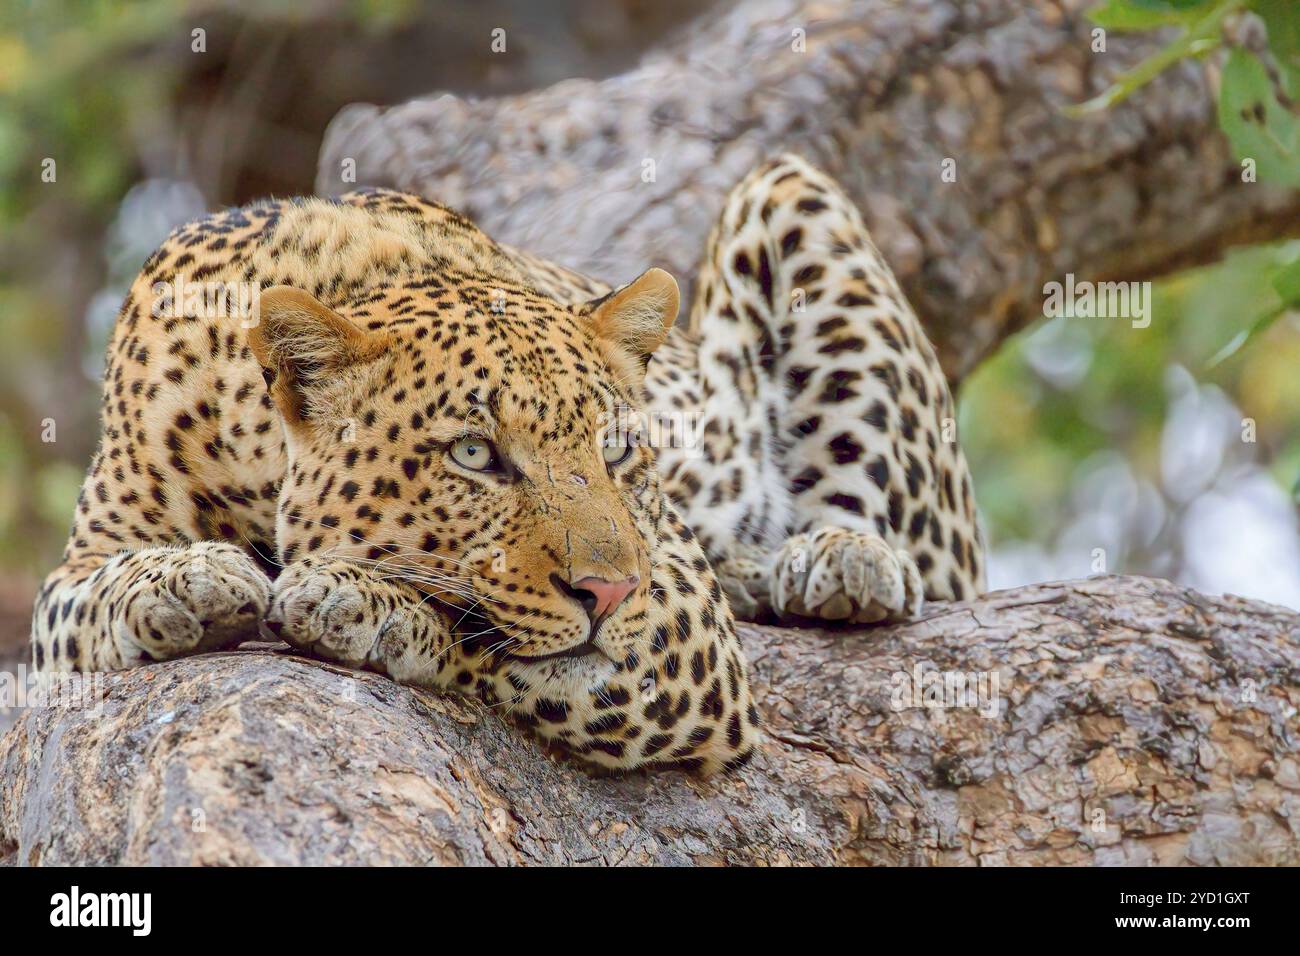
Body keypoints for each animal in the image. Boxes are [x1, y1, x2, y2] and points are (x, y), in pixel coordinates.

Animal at [31, 153, 984, 774]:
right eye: (474, 454)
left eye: (617, 450)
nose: (611, 592)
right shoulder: (79, 564)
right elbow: (84, 596)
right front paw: (187, 580)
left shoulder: (682, 614)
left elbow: (502, 643)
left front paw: (355, 603)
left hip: (789, 192)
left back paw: (833, 561)